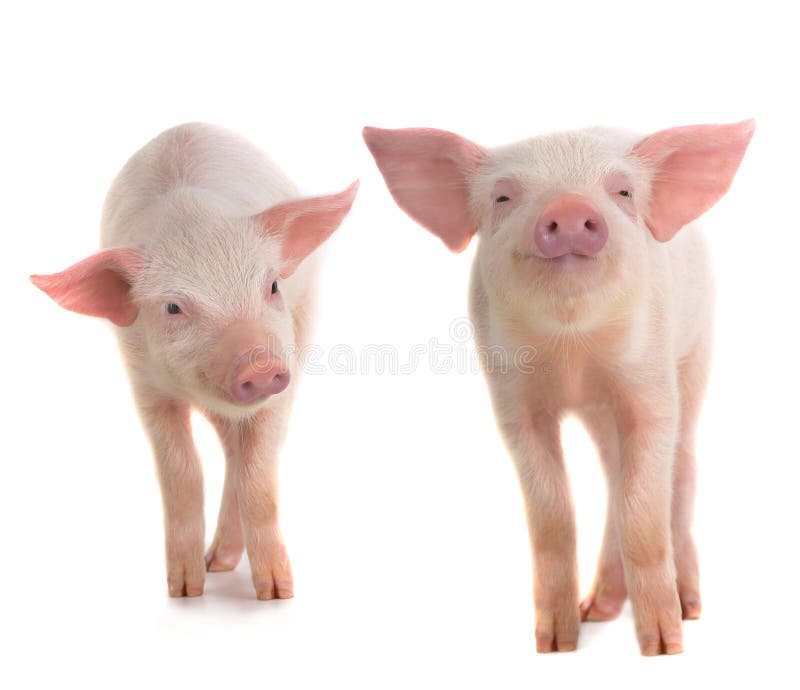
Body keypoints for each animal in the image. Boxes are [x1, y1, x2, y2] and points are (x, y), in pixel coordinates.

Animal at [31, 123, 358, 600]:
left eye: (272, 285)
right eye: (172, 308)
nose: (258, 365)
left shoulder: (286, 360)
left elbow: (258, 471)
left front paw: (277, 594)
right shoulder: (143, 380)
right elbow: (181, 471)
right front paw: (185, 591)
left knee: (245, 454)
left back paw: (224, 563)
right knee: (229, 450)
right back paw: (214, 564)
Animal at [363, 120, 753, 655]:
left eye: (623, 191)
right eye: (503, 196)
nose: (568, 208)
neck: (574, 353)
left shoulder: (650, 383)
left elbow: (643, 510)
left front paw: (664, 646)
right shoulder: (511, 398)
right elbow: (551, 515)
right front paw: (555, 644)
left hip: (697, 351)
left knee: (682, 469)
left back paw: (690, 605)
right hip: (603, 414)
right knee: (613, 477)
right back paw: (599, 609)